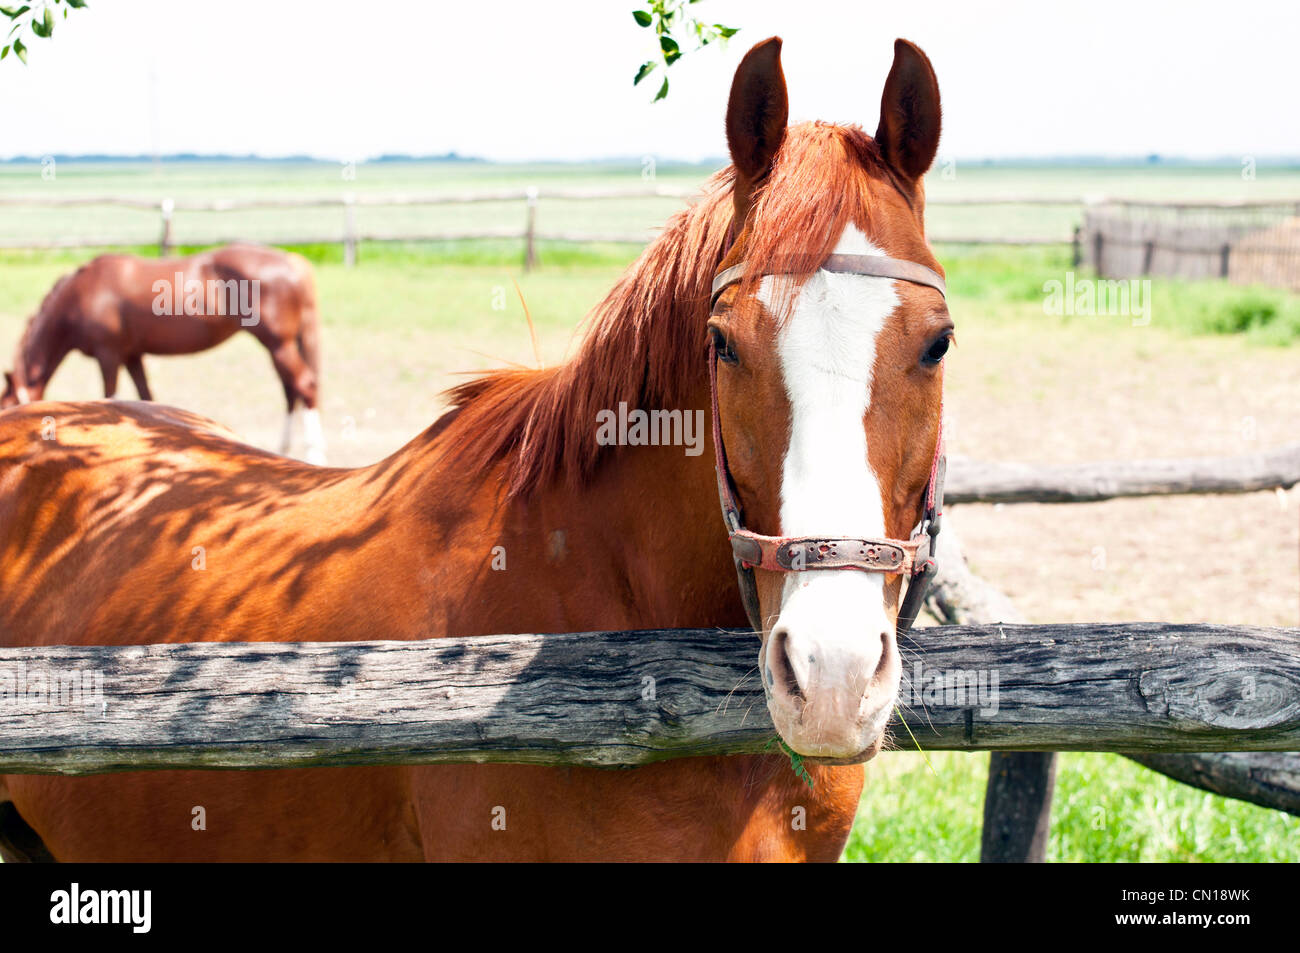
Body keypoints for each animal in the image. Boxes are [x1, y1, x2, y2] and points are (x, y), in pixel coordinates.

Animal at [0, 243, 327, 465]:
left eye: (8, 407)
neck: (83, 293)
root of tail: (292, 261)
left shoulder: (109, 356)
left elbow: (109, 396)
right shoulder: (132, 356)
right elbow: (145, 397)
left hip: (279, 345)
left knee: (304, 386)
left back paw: (314, 455)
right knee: (291, 392)